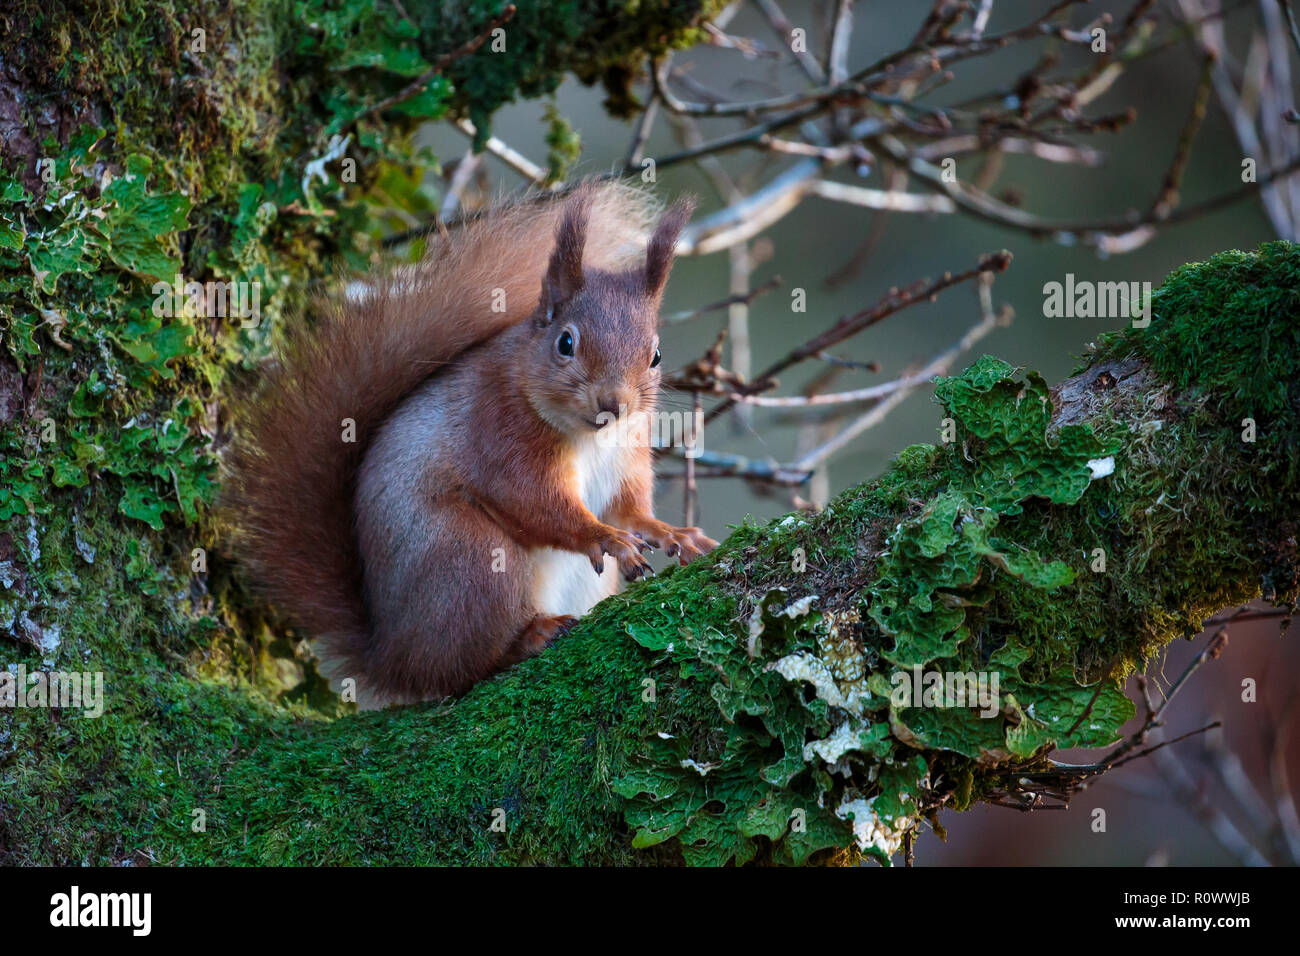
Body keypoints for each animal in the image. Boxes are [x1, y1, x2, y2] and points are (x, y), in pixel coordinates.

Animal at [227, 182, 717, 706]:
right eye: (565, 343)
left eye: (656, 355)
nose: (614, 404)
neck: (591, 437)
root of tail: (390, 657)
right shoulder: (498, 432)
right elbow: (536, 503)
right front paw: (603, 537)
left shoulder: (628, 456)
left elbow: (629, 510)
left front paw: (672, 533)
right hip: (474, 563)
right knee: (459, 671)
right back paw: (529, 637)